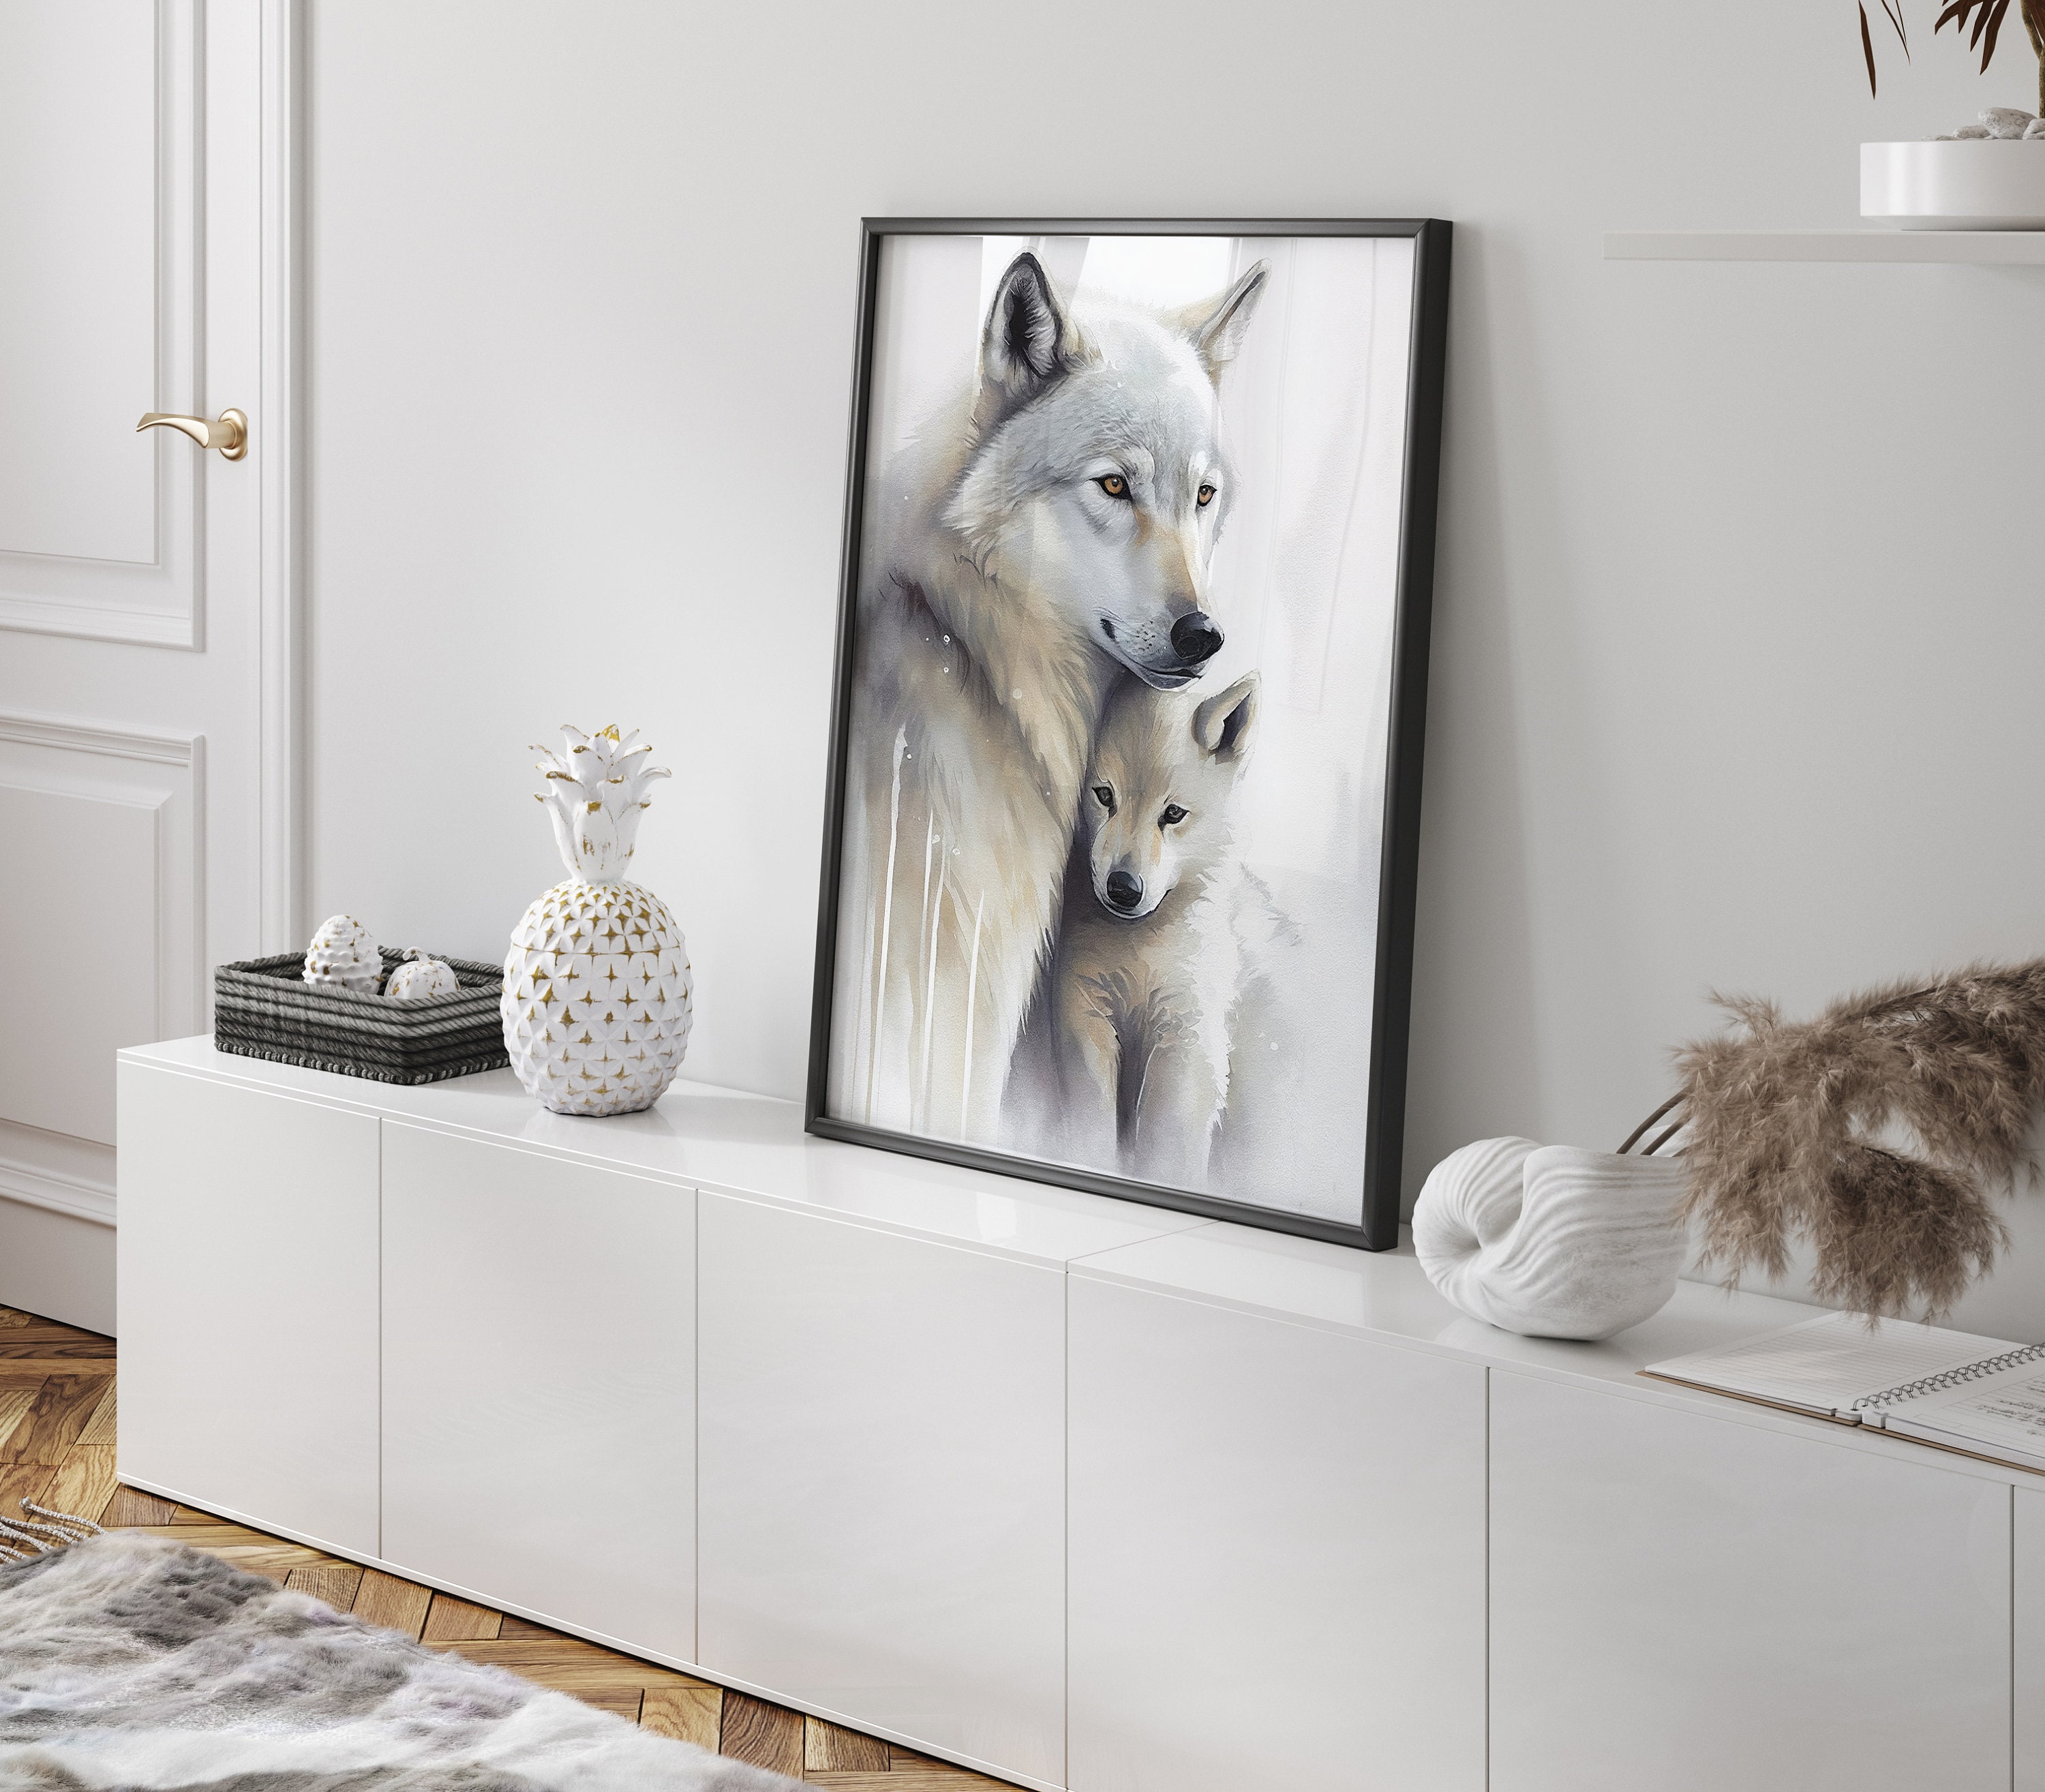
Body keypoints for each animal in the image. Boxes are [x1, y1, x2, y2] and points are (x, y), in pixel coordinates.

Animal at [1052, 669, 1286, 1187]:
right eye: (1105, 796)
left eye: (1173, 814)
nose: (1123, 888)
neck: (1138, 953)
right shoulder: (1085, 1010)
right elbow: (1091, 1117)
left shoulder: (1188, 1033)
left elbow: (1168, 1143)